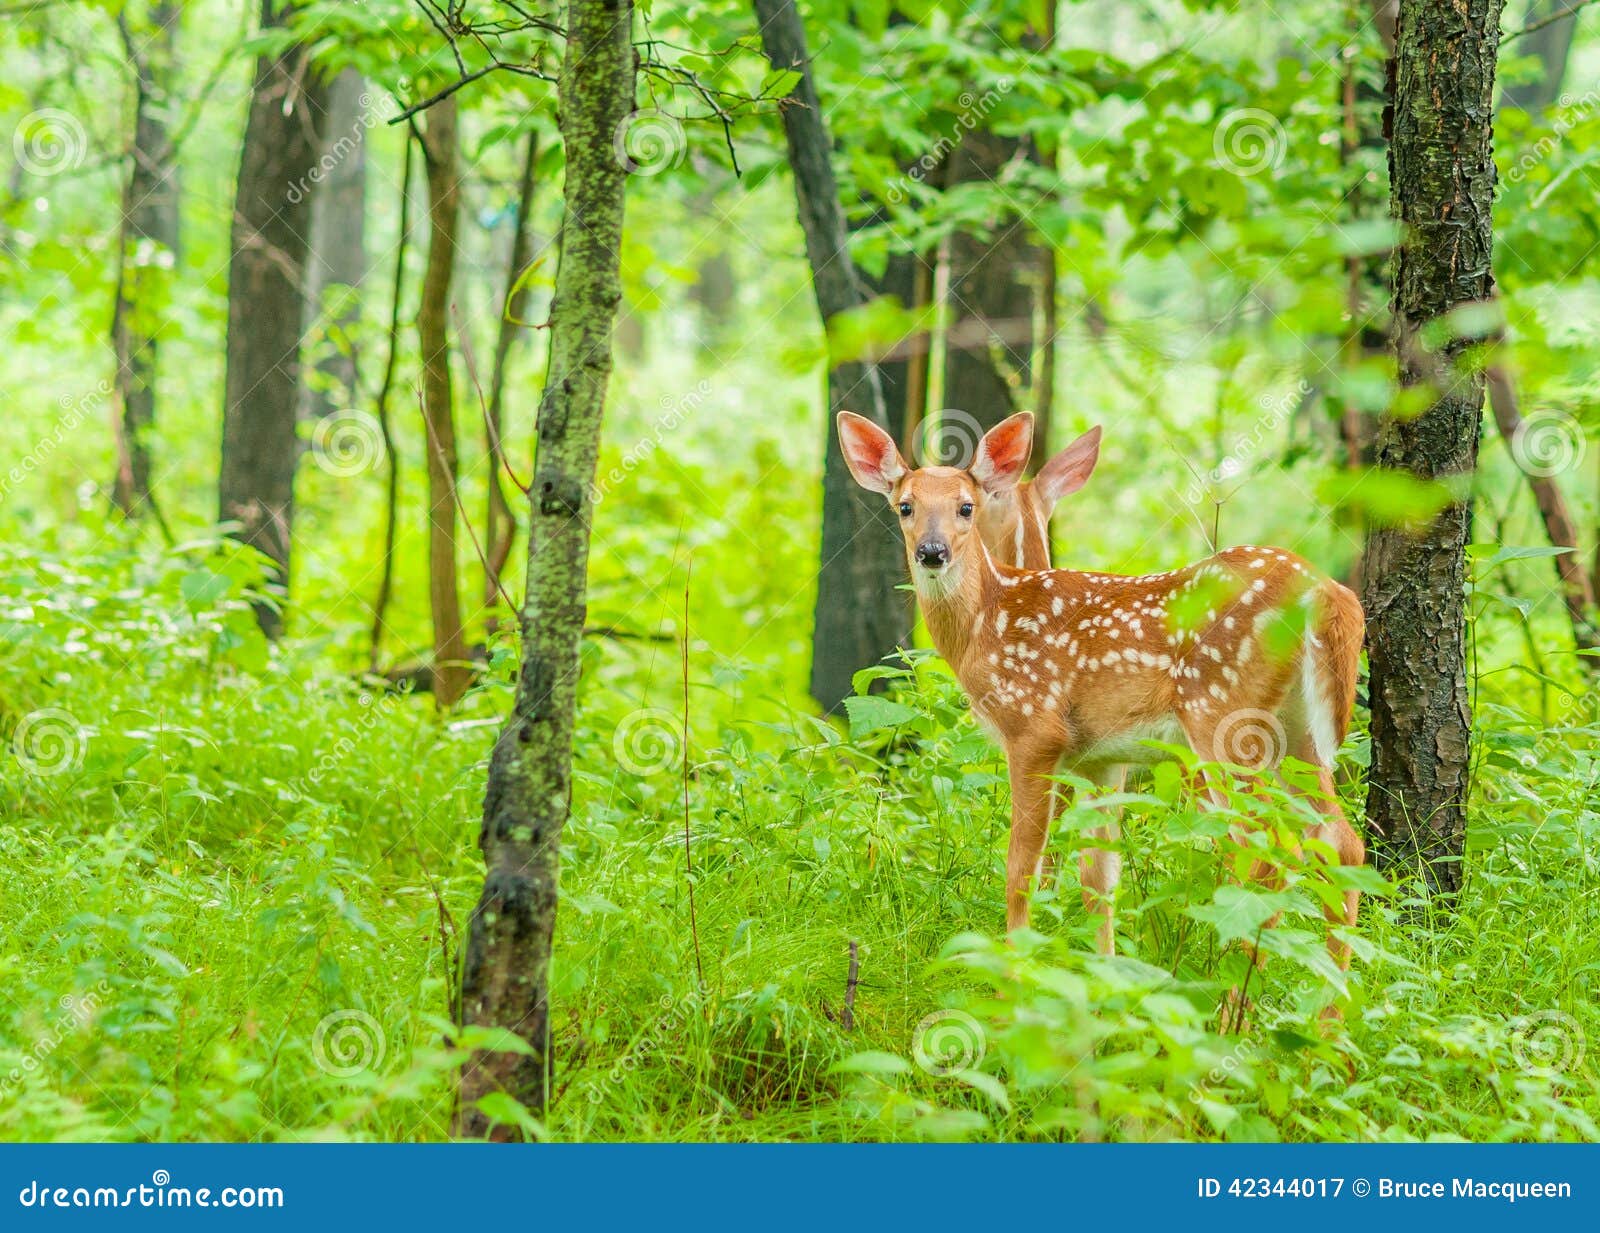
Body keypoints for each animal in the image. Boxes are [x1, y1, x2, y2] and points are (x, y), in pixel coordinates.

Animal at [838, 410, 1366, 973]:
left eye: (967, 507)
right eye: (905, 506)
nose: (931, 552)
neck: (989, 622)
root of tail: (1327, 594)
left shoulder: (1034, 729)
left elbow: (1021, 866)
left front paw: (1014, 967)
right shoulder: (1102, 759)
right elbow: (1099, 879)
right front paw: (1106, 977)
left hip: (1224, 716)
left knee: (1267, 851)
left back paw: (1237, 993)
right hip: (1299, 731)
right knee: (1340, 842)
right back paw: (1327, 992)